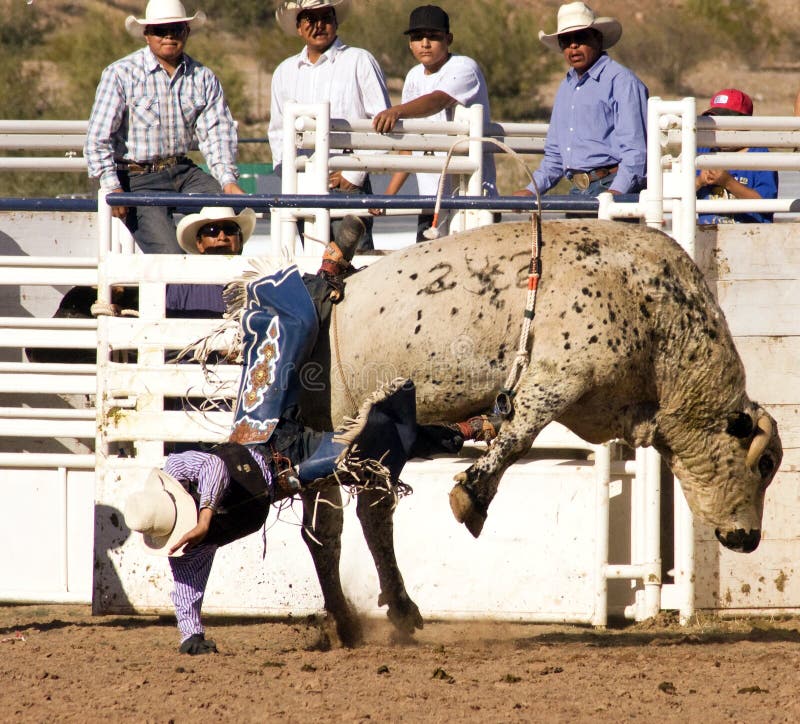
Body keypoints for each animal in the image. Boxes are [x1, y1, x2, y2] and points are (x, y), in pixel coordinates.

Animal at [292, 219, 782, 645]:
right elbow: (517, 437)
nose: (749, 539)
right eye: (762, 464)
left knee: (337, 528)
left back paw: (364, 617)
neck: (659, 315)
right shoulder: (557, 377)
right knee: (343, 524)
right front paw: (471, 496)